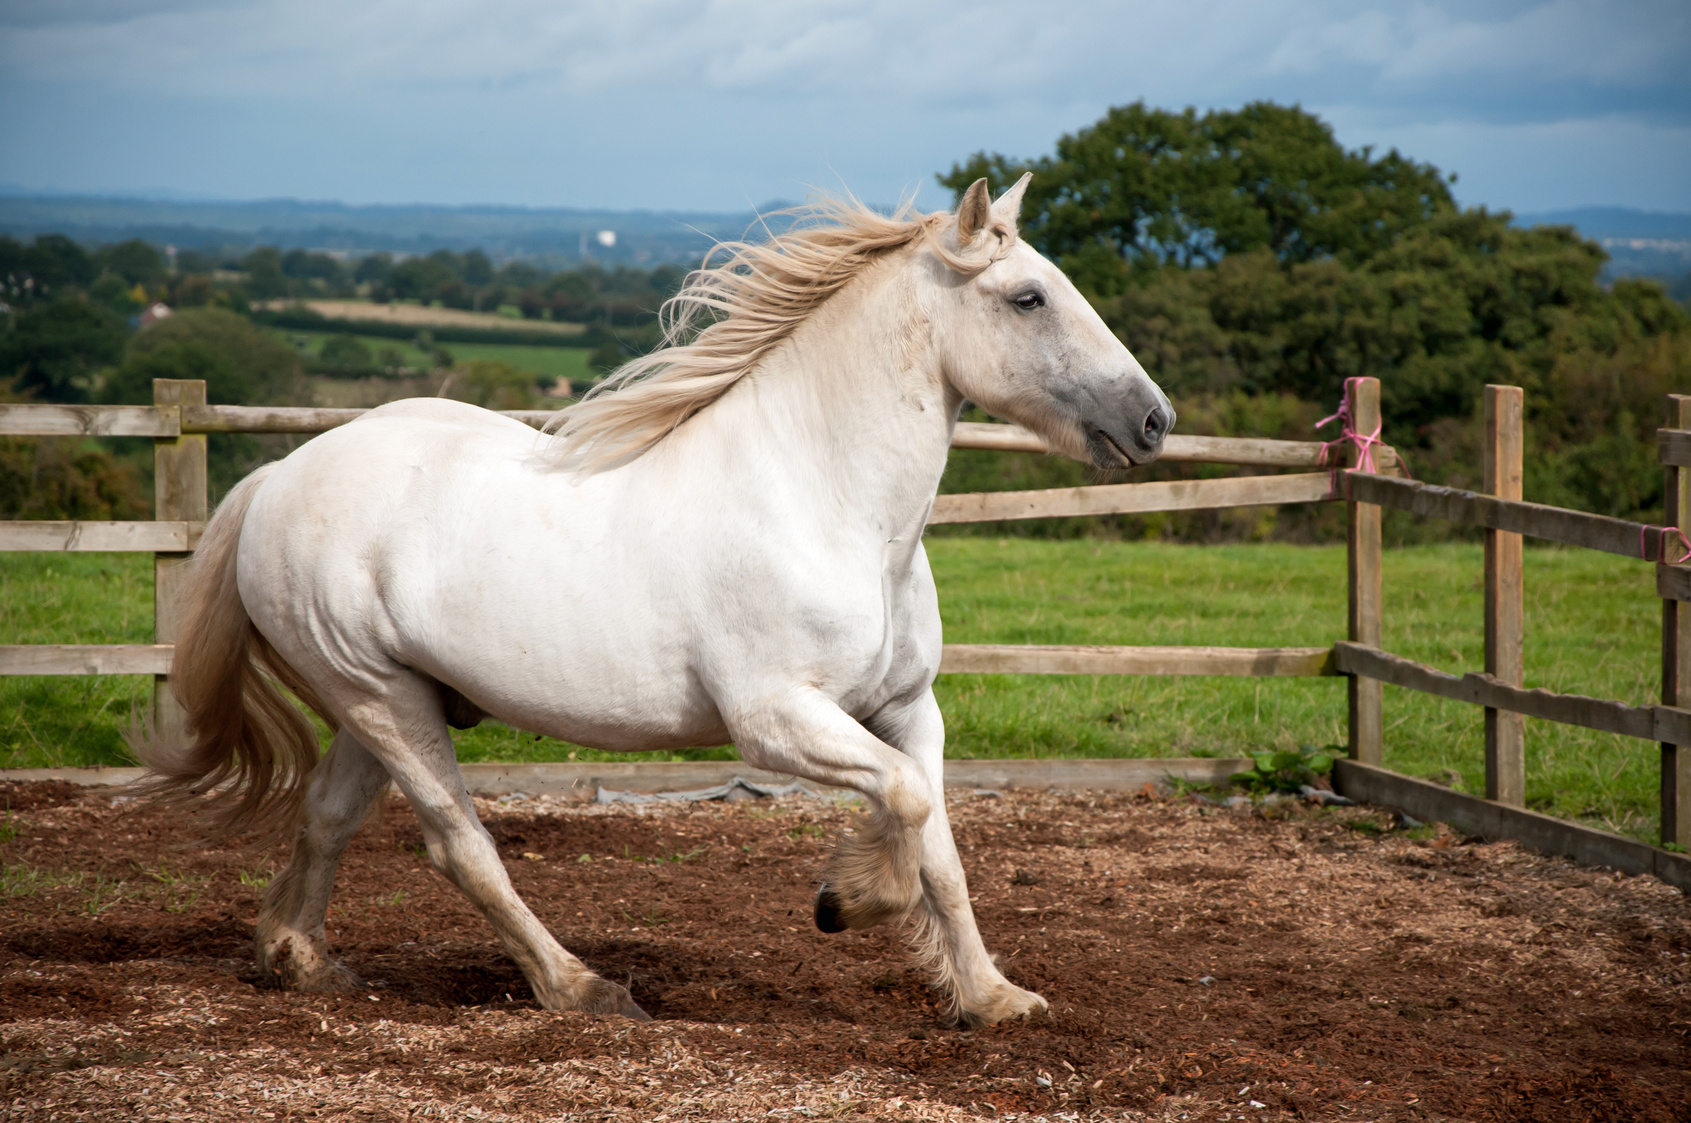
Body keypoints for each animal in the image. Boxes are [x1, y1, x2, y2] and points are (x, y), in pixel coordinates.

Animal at [139, 174, 1172, 1025]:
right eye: (1027, 298)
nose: (1153, 420)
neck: (825, 500)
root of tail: (276, 477)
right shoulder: (774, 719)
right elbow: (909, 808)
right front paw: (843, 901)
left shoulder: (908, 709)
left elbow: (941, 849)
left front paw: (993, 998)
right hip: (379, 699)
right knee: (458, 844)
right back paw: (582, 988)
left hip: (387, 699)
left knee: (327, 816)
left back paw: (298, 961)